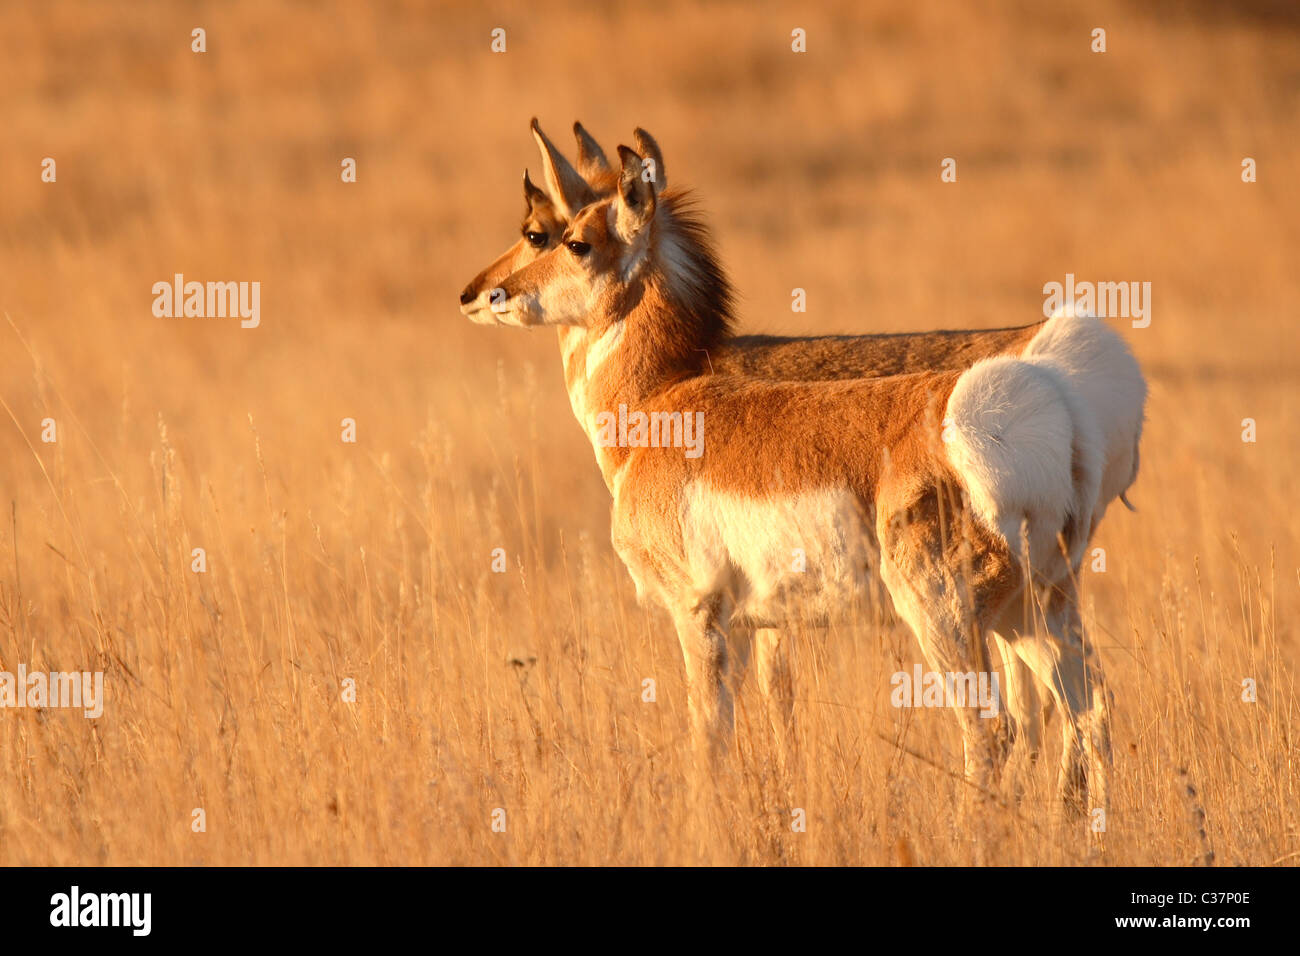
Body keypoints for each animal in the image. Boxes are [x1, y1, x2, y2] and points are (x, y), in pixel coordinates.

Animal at [462, 129, 1145, 812]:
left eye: (565, 239)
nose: (477, 294)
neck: (664, 399)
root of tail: (1050, 401)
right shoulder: (751, 626)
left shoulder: (700, 616)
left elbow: (711, 738)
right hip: (1032, 608)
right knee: (1089, 709)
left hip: (946, 614)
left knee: (996, 728)